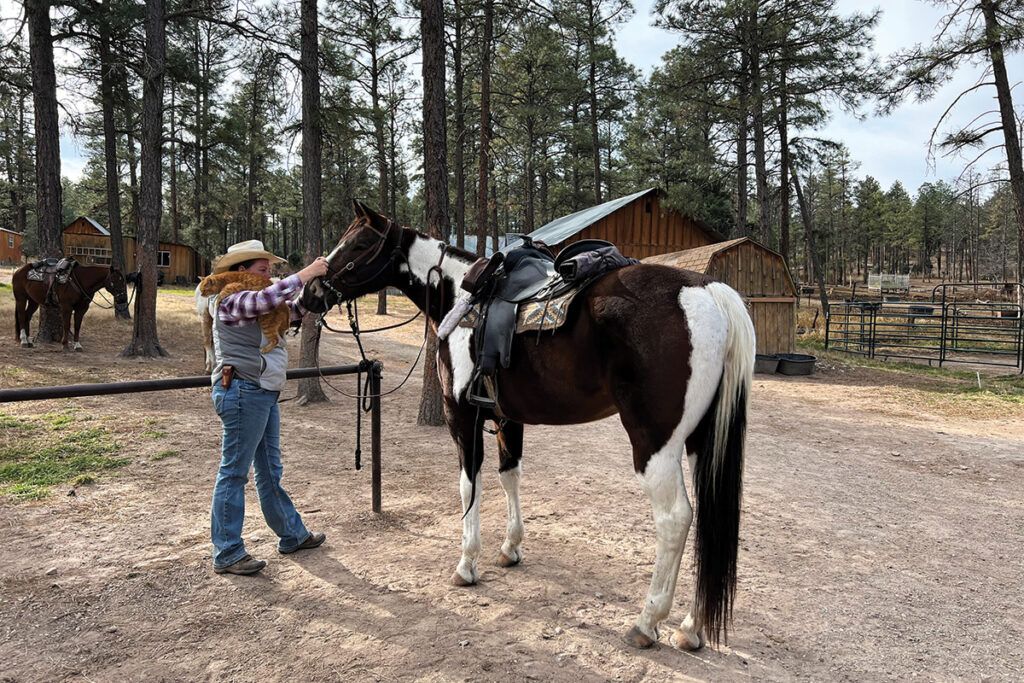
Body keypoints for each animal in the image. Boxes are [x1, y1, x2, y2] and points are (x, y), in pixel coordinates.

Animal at [302, 201, 755, 650]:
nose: (311, 291)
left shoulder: (461, 417)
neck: (460, 297)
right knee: (706, 523)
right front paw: (510, 548)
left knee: (675, 519)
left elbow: (469, 485)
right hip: (701, 442)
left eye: (358, 243)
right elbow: (510, 476)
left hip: (655, 444)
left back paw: (647, 622)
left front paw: (467, 564)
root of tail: (707, 291)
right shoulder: (508, 418)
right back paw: (691, 627)